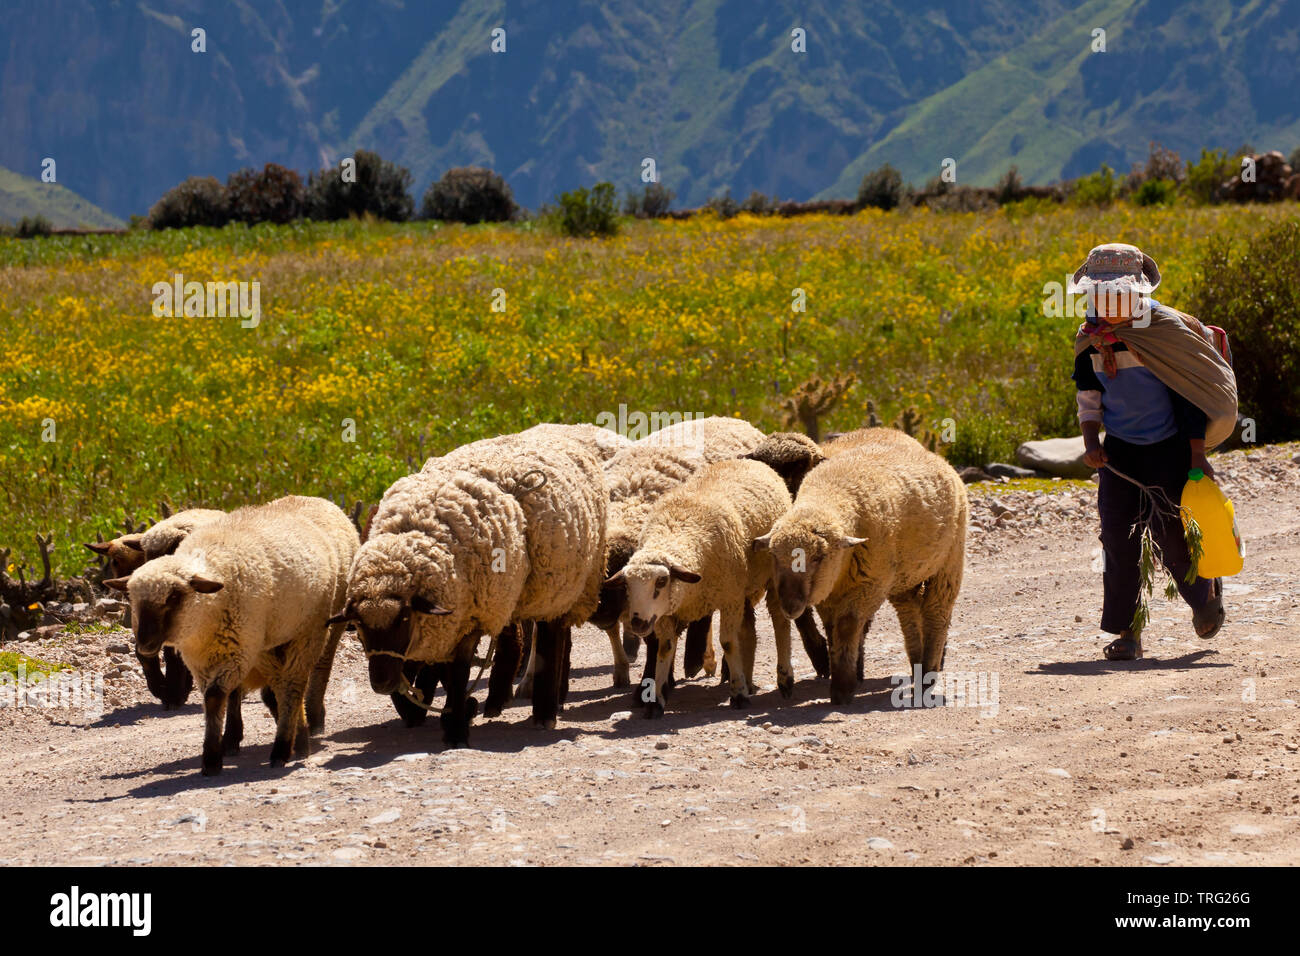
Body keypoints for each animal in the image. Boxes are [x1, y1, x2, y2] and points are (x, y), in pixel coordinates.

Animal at [85, 508, 225, 709]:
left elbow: (173, 654)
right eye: (115, 561)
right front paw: (161, 688)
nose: (128, 589)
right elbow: (143, 653)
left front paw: (173, 693)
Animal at [108, 496, 359, 774]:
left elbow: (218, 695)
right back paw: (298, 735)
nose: (143, 645)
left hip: (309, 632)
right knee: (281, 686)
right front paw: (218, 750)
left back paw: (288, 744)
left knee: (297, 683)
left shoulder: (239, 649)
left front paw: (214, 755)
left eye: (174, 596)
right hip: (272, 642)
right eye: (134, 598)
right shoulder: (204, 660)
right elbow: (215, 699)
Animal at [340, 433, 606, 743]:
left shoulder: (466, 617)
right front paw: (431, 711)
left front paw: (456, 726)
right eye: (359, 627)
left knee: (551, 638)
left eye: (403, 618)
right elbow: (418, 675)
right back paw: (501, 699)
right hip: (509, 590)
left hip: (555, 585)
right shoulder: (445, 621)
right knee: (521, 636)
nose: (380, 683)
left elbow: (456, 673)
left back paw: (545, 711)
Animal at [609, 458, 793, 716]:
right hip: (743, 590)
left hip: (770, 578)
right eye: (626, 585)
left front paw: (738, 695)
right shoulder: (668, 612)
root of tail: (749, 460)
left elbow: (728, 642)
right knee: (748, 631)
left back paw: (784, 679)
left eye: (661, 581)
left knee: (780, 624)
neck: (676, 529)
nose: (637, 623)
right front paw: (655, 702)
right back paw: (748, 680)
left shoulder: (729, 598)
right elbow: (664, 649)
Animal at [754, 437, 967, 705]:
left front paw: (843, 687)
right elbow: (832, 629)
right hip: (904, 575)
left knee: (936, 611)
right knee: (909, 610)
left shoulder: (869, 584)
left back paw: (927, 675)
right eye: (773, 555)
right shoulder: (829, 591)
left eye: (819, 556)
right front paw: (842, 669)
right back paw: (917, 664)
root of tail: (939, 459)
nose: (790, 606)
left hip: (949, 561)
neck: (830, 494)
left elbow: (847, 624)